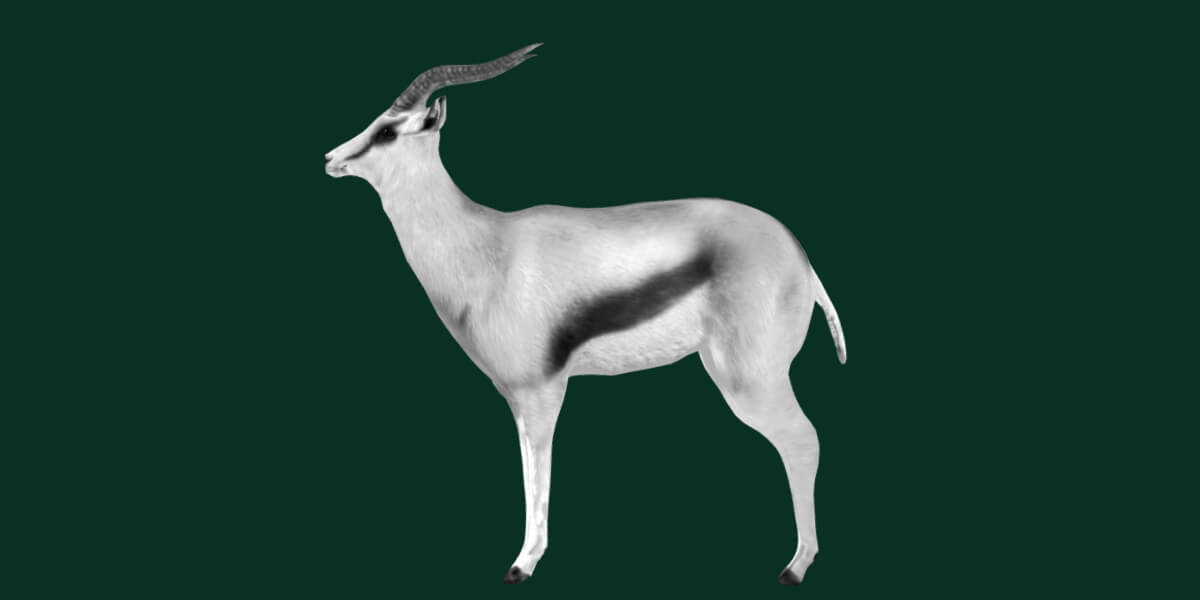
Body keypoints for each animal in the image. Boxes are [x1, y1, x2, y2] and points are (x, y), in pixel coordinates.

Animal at [324, 44, 847, 586]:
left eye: (388, 131)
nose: (330, 159)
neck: (485, 249)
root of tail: (803, 261)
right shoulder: (516, 396)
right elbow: (530, 470)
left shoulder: (541, 391)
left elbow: (538, 474)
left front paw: (522, 565)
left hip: (749, 380)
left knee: (803, 440)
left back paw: (796, 567)